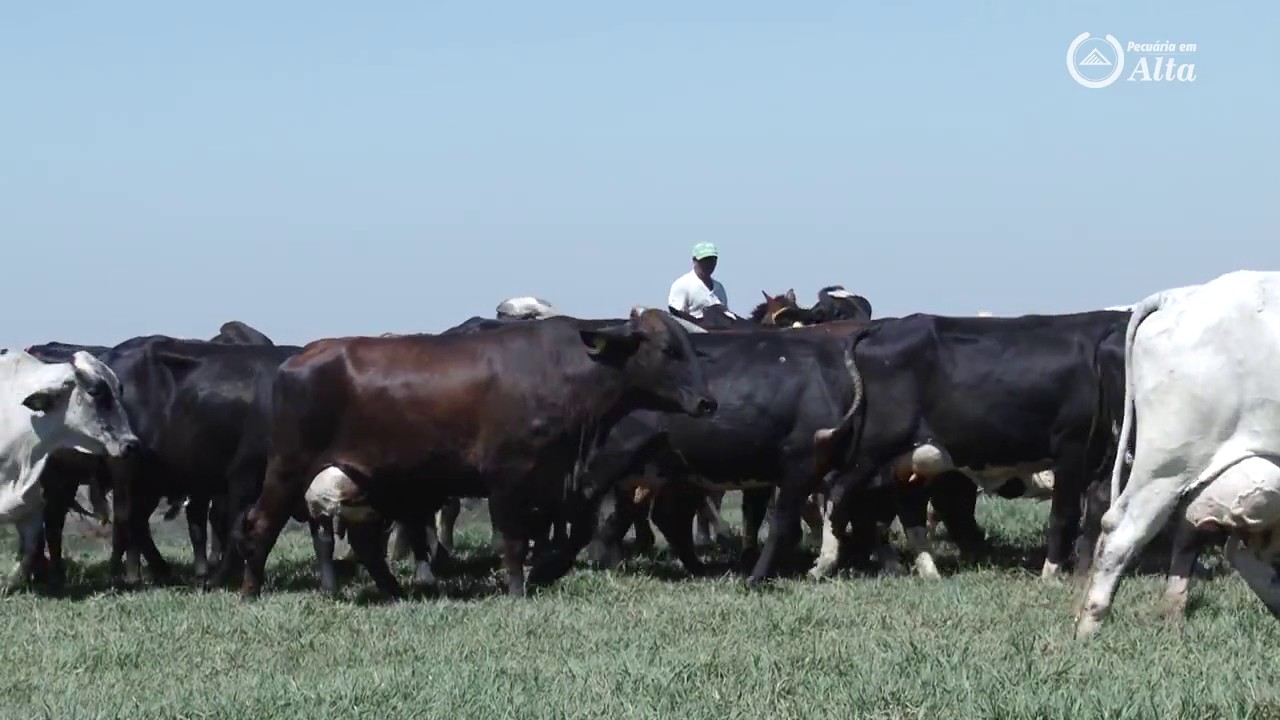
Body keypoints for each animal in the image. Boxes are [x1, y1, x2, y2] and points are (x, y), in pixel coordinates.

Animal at [235, 307, 716, 600]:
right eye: (668, 350)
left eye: (694, 350)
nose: (707, 403)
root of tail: (298, 358)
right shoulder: (508, 475)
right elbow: (514, 538)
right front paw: (518, 588)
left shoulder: (557, 476)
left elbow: (575, 530)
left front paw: (546, 571)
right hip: (289, 467)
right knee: (260, 524)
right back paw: (249, 590)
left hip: (371, 480)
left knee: (366, 542)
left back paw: (395, 591)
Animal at [809, 310, 1128, 586]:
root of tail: (885, 326)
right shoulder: (1073, 449)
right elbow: (1064, 515)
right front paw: (1051, 575)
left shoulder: (1104, 458)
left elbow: (1097, 511)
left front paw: (1086, 572)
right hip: (874, 446)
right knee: (838, 489)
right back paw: (823, 564)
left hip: (911, 457)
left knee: (907, 508)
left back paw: (929, 571)